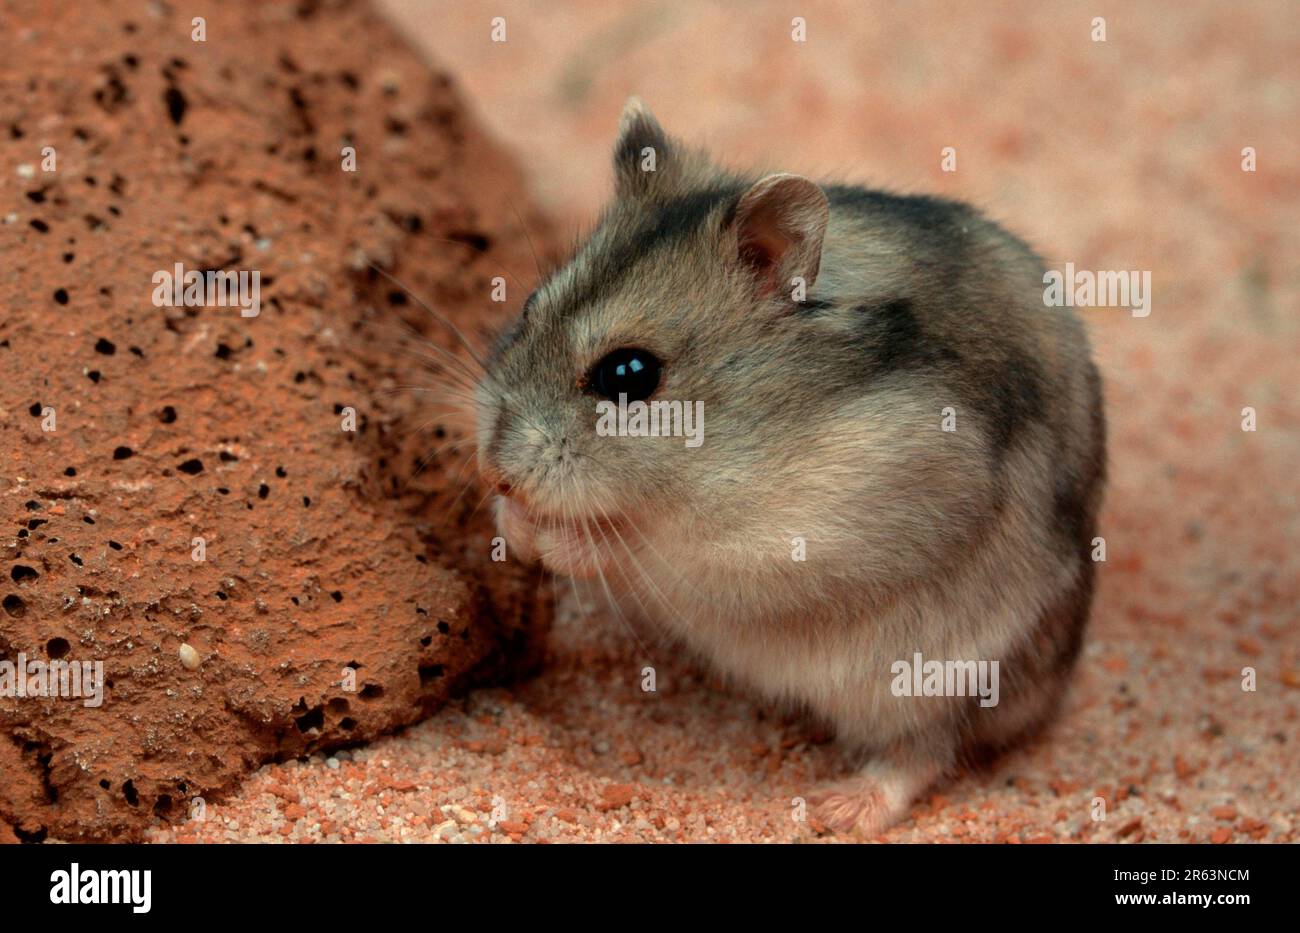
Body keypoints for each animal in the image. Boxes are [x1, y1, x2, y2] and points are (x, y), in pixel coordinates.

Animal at [474, 98, 1106, 836]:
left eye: (628, 374)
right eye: (528, 305)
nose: (496, 471)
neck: (742, 435)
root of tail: (1051, 689)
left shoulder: (788, 537)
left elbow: (637, 546)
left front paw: (547, 533)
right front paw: (509, 522)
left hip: (935, 677)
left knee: (922, 751)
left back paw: (840, 810)